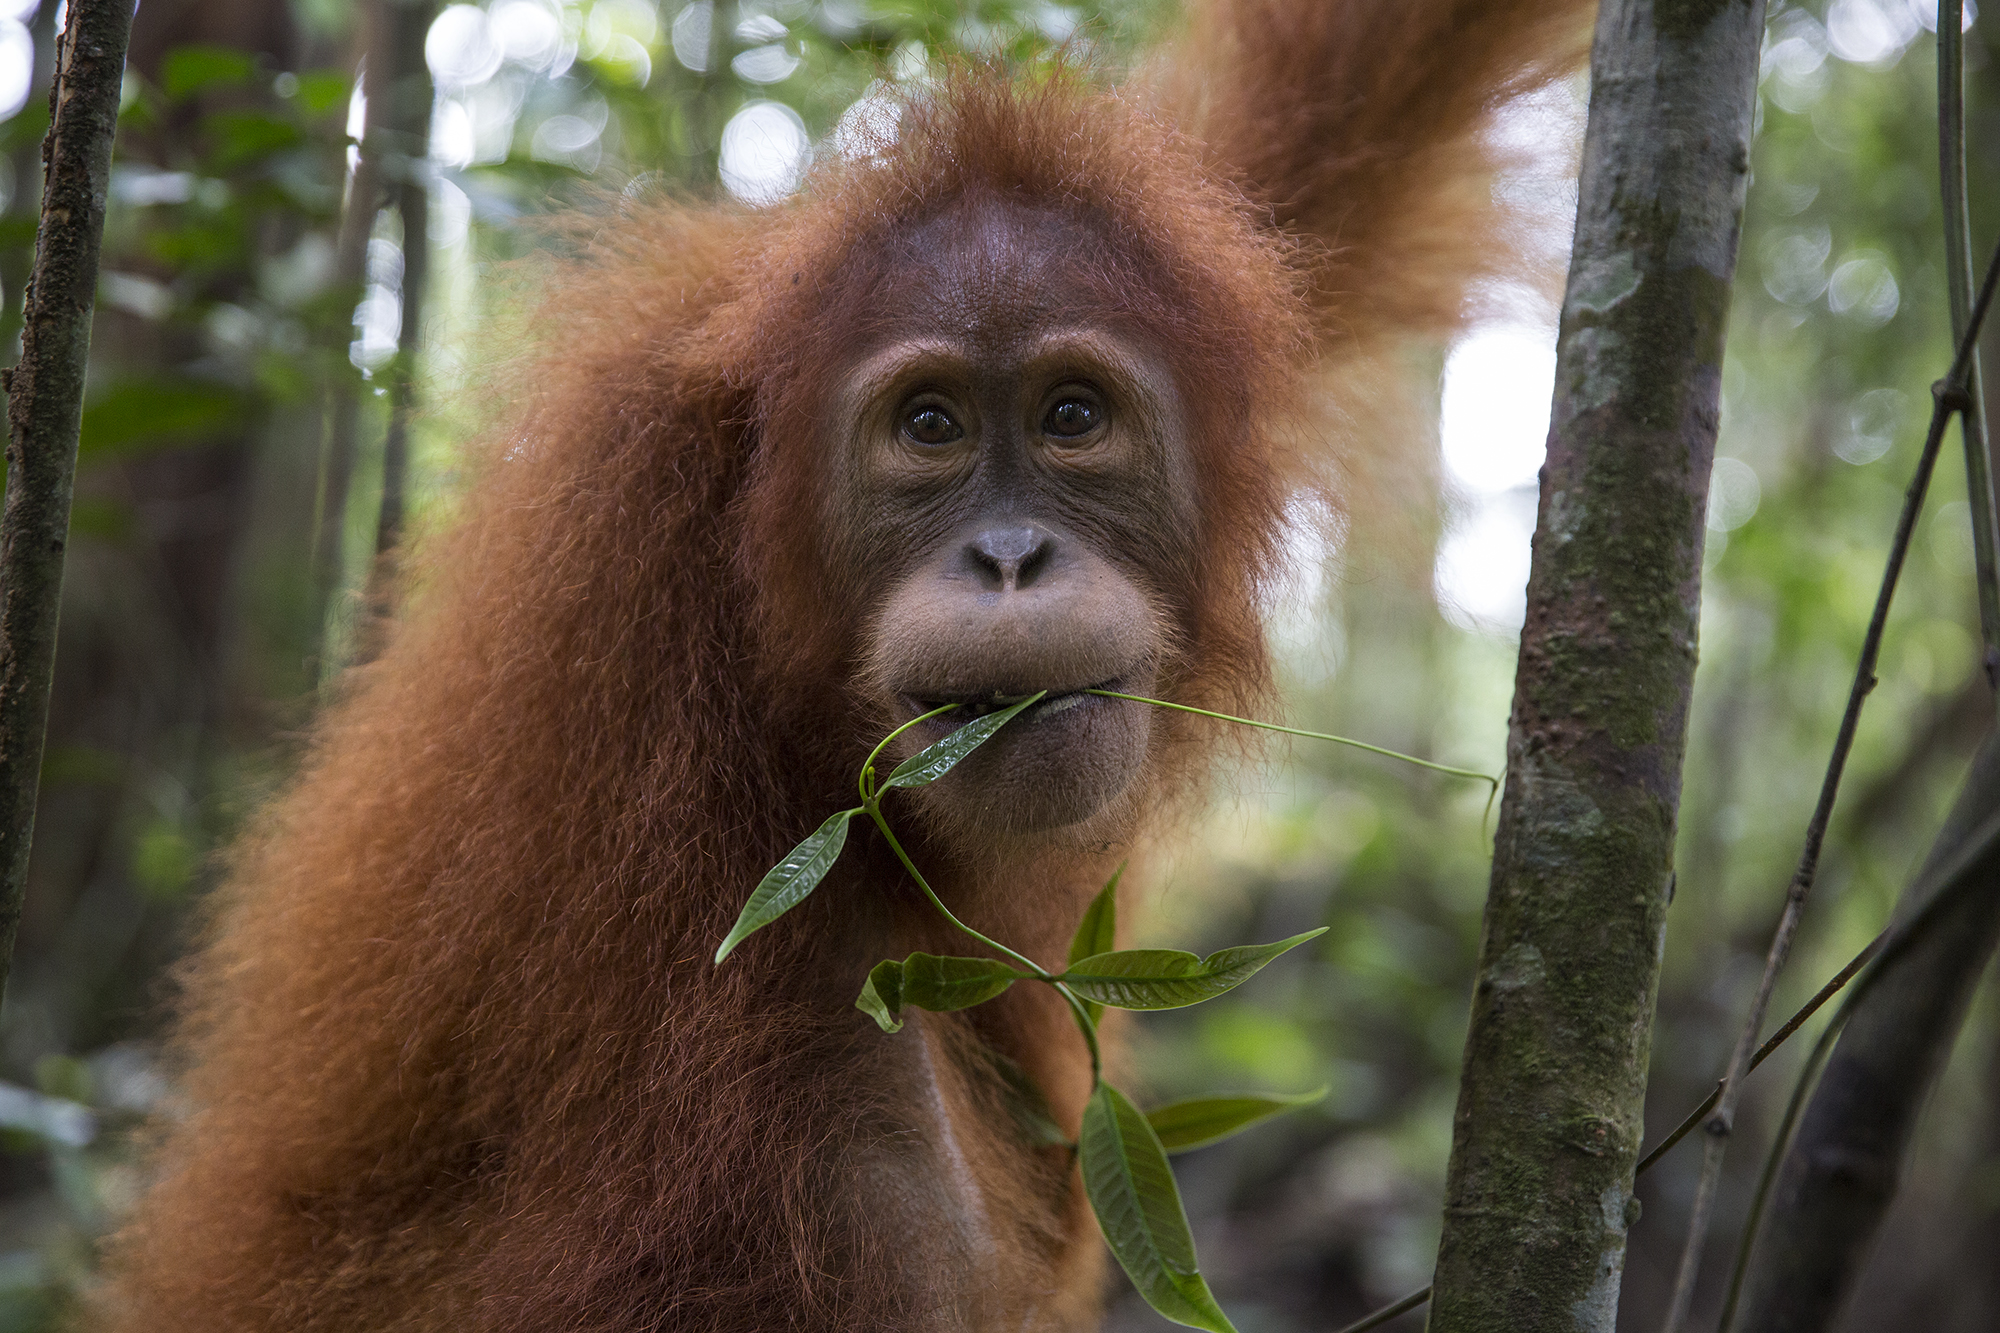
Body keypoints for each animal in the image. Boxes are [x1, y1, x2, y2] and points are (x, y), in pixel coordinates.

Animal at [93, 2, 1593, 1329]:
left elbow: (1352, 96)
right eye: (929, 425)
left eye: (1071, 416)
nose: (1009, 557)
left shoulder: (1226, 245)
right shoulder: (663, 769)